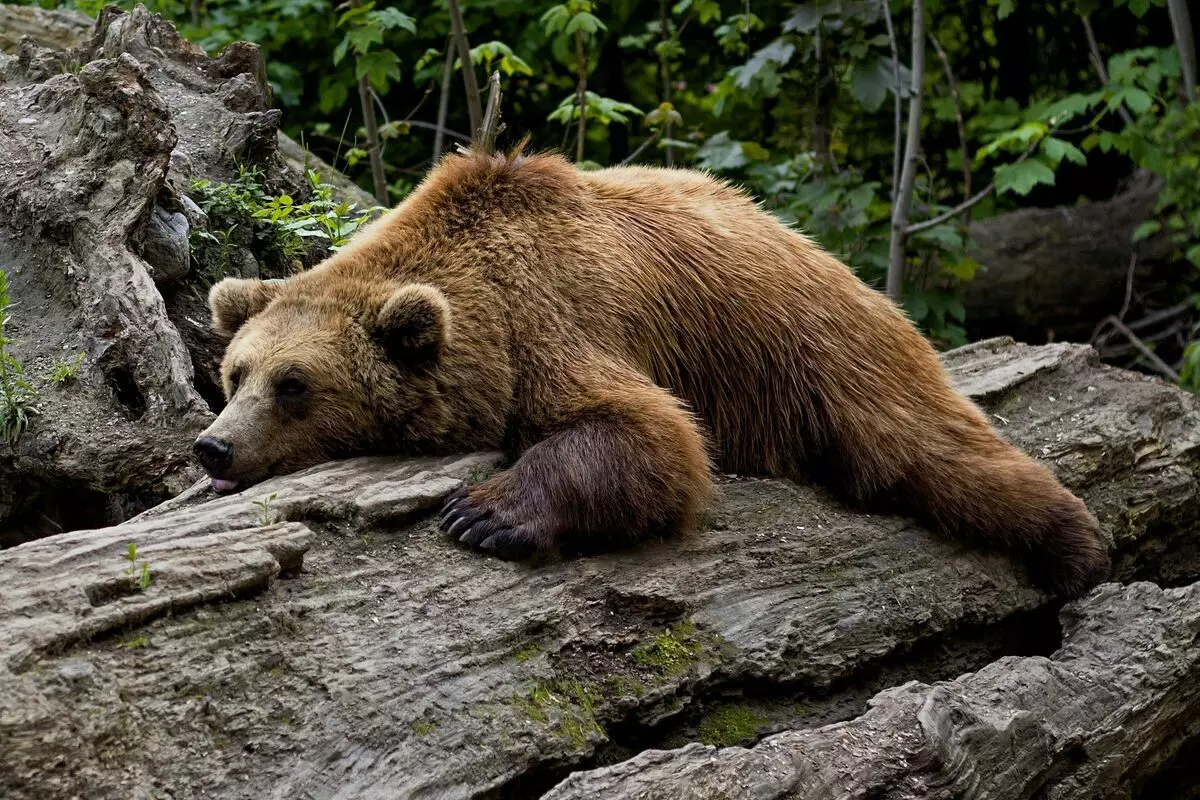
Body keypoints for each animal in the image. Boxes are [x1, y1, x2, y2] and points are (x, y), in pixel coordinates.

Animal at [194, 140, 1104, 597]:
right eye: (236, 375)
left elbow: (650, 434)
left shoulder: (558, 319)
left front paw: (482, 514)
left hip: (822, 354)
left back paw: (1073, 546)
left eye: (295, 385)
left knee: (931, 452)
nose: (215, 447)